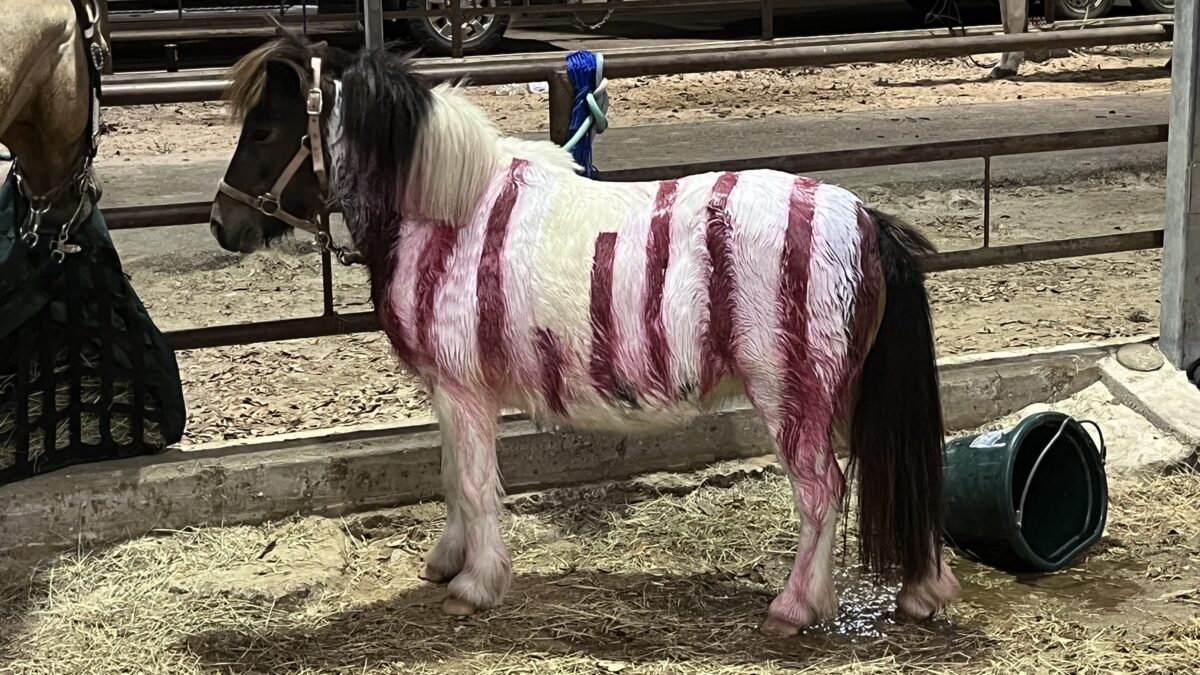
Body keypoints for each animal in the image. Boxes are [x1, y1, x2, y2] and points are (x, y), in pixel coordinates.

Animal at [209, 34, 961, 635]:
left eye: (266, 131)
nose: (221, 224)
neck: (451, 217)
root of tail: (864, 218)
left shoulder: (462, 387)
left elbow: (474, 483)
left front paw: (476, 585)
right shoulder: (452, 391)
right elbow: (452, 475)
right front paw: (448, 562)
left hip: (791, 392)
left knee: (822, 491)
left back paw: (795, 607)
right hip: (847, 388)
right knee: (898, 470)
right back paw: (922, 591)